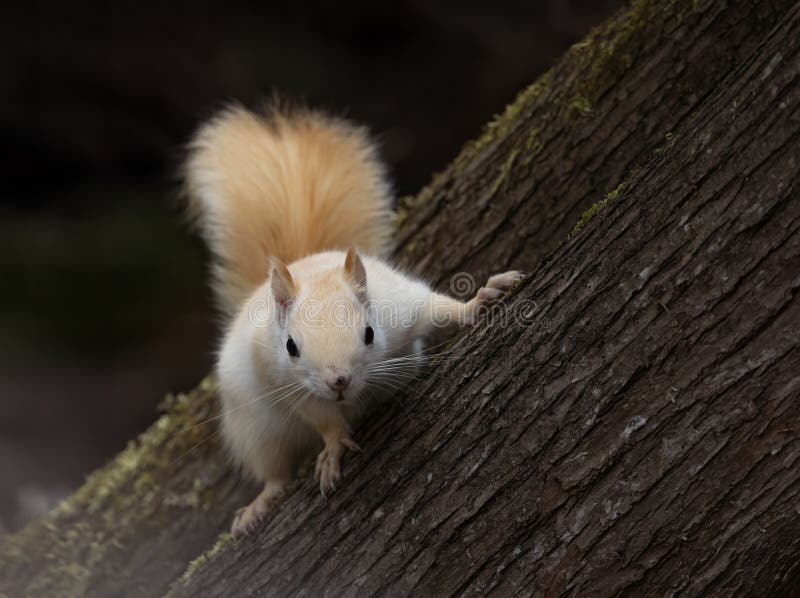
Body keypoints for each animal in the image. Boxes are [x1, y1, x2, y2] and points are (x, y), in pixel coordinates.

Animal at [184, 102, 523, 536]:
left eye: (369, 333)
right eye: (291, 346)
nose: (338, 381)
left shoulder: (403, 305)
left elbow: (439, 309)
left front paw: (479, 300)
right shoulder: (282, 380)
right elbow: (319, 416)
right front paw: (332, 448)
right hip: (254, 428)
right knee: (274, 469)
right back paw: (260, 502)